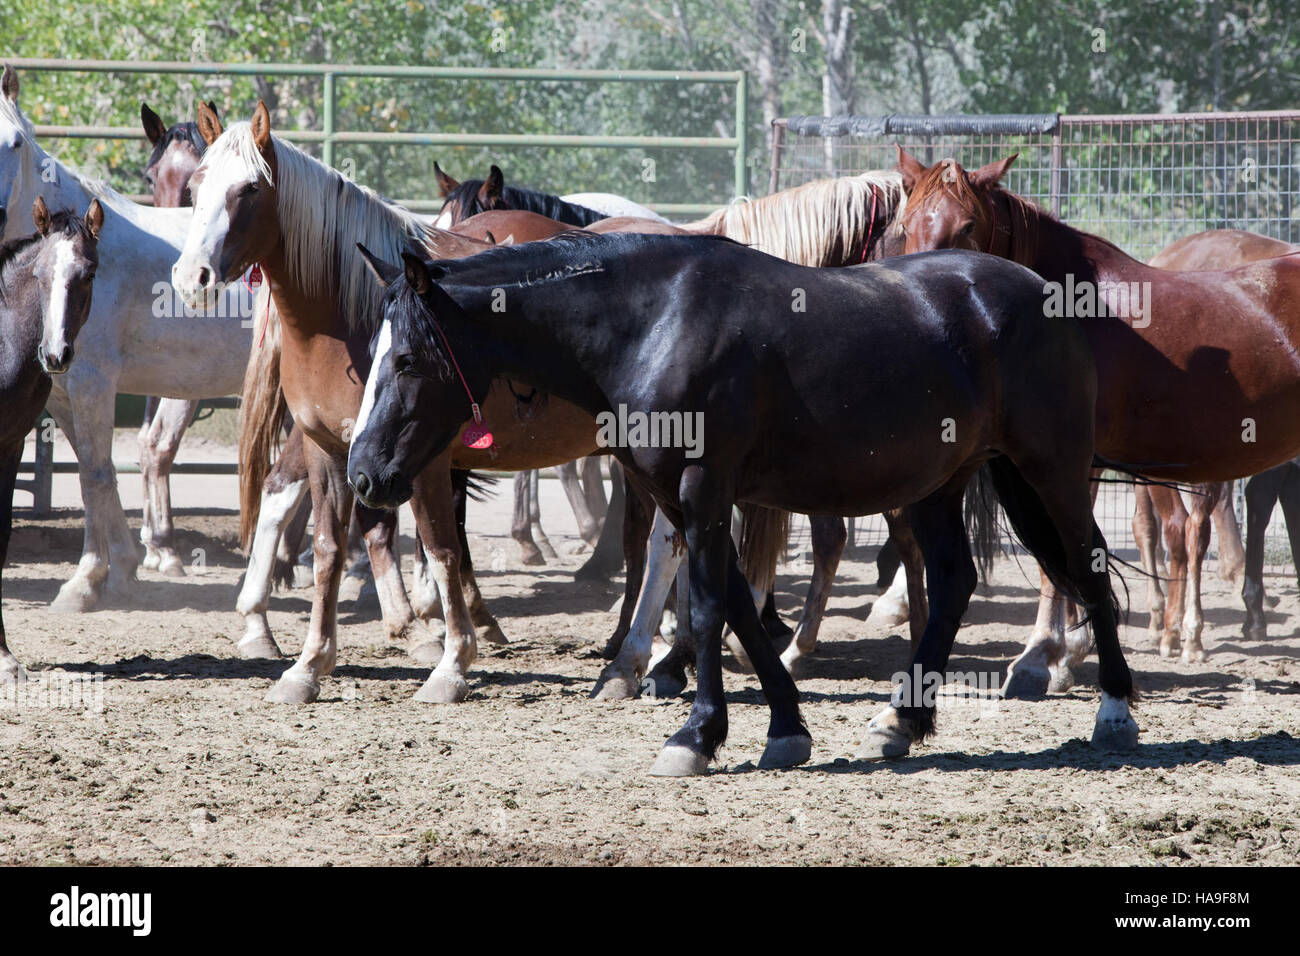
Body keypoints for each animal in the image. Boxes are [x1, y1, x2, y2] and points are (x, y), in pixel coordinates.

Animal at [0, 65, 251, 612]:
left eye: (15, 141)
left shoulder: (92, 383)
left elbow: (94, 475)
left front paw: (86, 582)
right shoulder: (64, 392)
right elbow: (99, 476)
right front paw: (123, 571)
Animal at [345, 232, 1138, 775]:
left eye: (407, 359)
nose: (364, 475)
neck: (654, 324)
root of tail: (1041, 293)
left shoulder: (704, 493)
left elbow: (704, 612)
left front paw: (695, 736)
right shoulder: (682, 502)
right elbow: (739, 613)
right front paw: (785, 728)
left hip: (1050, 471)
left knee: (1088, 568)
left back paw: (1115, 712)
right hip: (940, 484)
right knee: (951, 583)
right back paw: (899, 723)